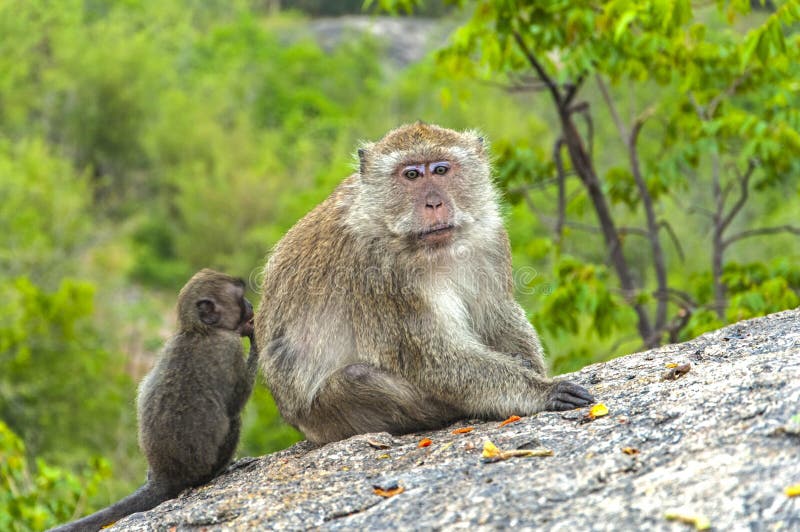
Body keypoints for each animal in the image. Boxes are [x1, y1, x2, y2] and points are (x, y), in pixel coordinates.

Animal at [52, 269, 258, 531]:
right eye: (240, 298)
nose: (250, 305)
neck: (200, 330)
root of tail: (164, 476)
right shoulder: (228, 347)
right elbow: (236, 401)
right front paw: (257, 339)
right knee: (233, 419)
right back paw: (221, 470)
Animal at [255, 122, 595, 445]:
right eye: (412, 175)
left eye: (441, 170)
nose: (434, 204)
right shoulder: (378, 269)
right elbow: (433, 360)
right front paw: (543, 391)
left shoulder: (490, 237)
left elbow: (497, 315)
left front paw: (531, 367)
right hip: (324, 418)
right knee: (357, 376)